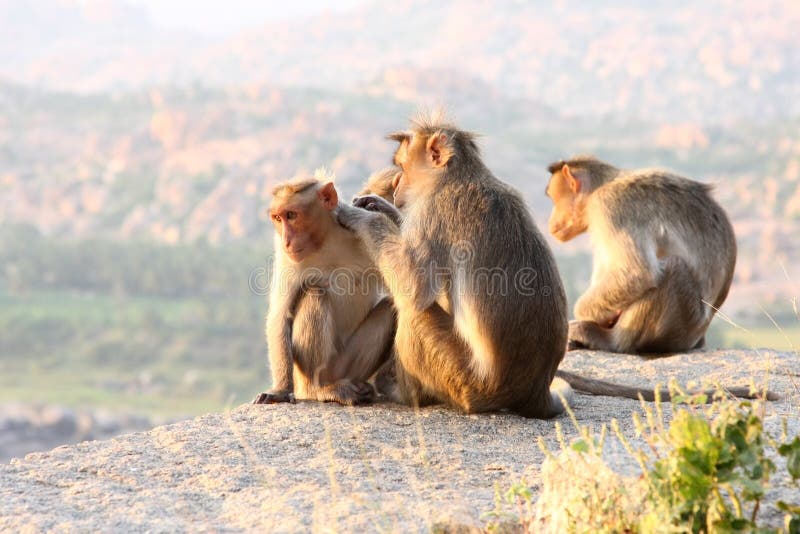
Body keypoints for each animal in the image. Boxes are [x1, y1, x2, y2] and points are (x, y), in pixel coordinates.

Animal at [252, 171, 396, 406]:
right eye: (278, 218)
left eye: (291, 215)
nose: (287, 240)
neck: (326, 239)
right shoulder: (286, 257)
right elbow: (279, 316)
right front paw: (280, 391)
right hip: (308, 373)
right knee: (315, 292)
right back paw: (318, 390)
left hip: (347, 367)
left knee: (390, 307)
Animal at [337, 114, 573, 419]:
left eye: (403, 166)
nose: (398, 187)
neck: (456, 177)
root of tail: (533, 391)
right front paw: (380, 207)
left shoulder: (435, 210)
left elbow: (415, 286)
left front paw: (362, 216)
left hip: (462, 380)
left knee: (413, 311)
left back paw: (405, 395)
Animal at [544, 156, 737, 355]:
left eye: (554, 199)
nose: (550, 222)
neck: (601, 186)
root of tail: (697, 338)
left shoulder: (611, 205)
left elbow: (636, 272)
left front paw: (586, 314)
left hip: (684, 324)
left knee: (673, 268)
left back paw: (610, 340)